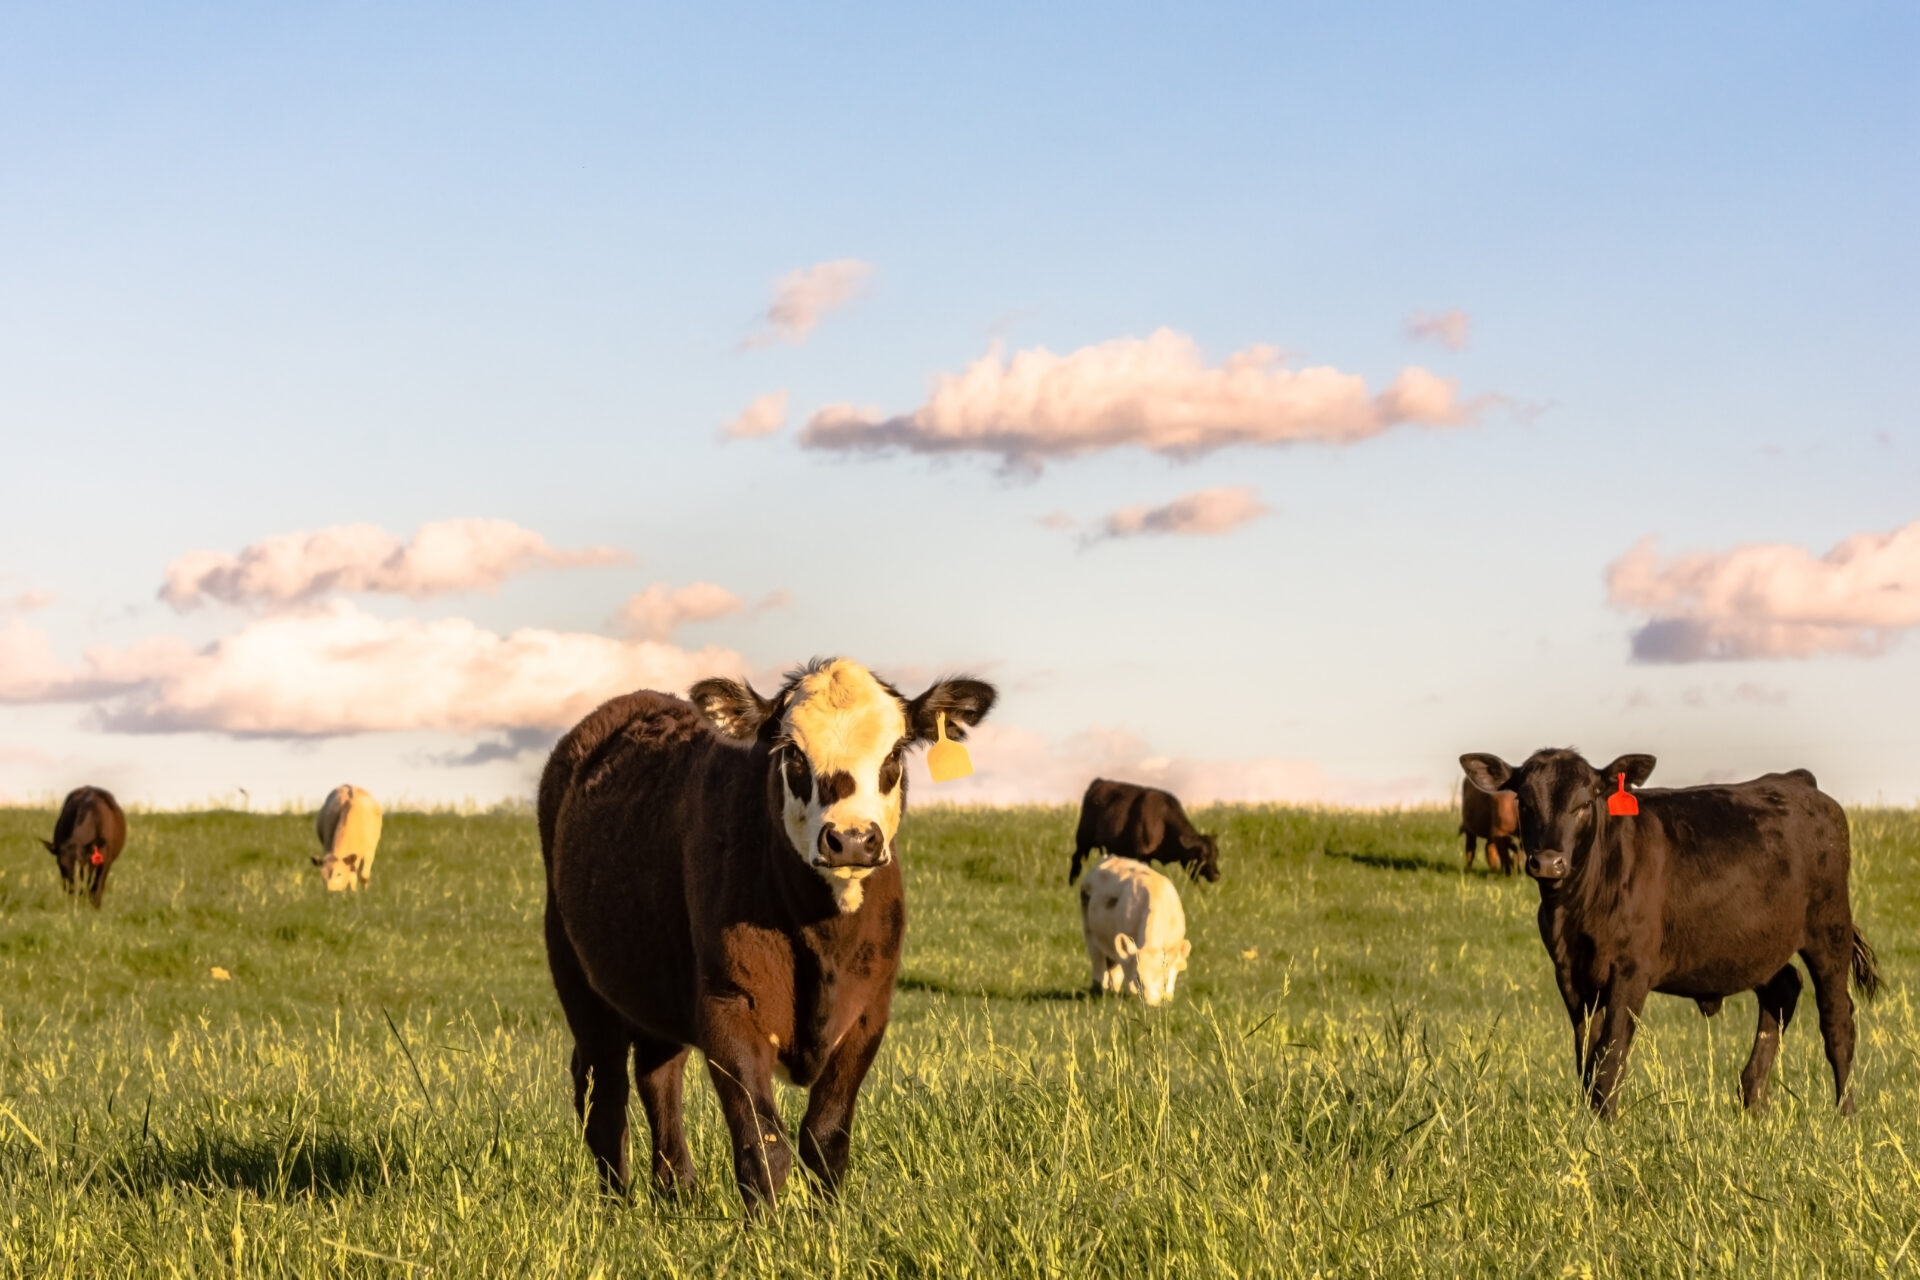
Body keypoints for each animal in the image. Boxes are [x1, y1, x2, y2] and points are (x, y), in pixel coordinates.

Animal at [539, 658, 996, 1211]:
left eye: (894, 753)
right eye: (792, 753)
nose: (851, 839)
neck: (823, 939)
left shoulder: (869, 1012)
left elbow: (825, 1137)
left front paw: (829, 1221)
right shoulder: (727, 1007)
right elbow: (764, 1145)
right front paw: (769, 1230)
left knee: (657, 1075)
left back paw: (677, 1191)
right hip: (577, 976)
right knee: (602, 1090)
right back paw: (617, 1207)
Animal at [1069, 778, 1220, 885]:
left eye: (1216, 854)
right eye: (1202, 855)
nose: (1217, 875)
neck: (1163, 820)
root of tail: (1098, 782)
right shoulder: (1142, 855)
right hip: (1083, 841)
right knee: (1077, 859)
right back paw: (1072, 884)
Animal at [1079, 856, 1191, 1005]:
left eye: (1164, 978)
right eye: (1138, 978)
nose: (1151, 1003)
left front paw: (1167, 996)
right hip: (1090, 934)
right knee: (1100, 966)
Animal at [1461, 748, 1880, 1117]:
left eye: (1584, 803)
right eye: (1524, 803)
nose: (1549, 862)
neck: (1576, 907)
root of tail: (1796, 781)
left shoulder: (1631, 970)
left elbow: (1611, 1051)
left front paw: (1606, 1125)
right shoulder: (1569, 973)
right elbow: (1587, 1056)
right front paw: (1590, 1120)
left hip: (1829, 929)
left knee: (1837, 1022)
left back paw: (1845, 1113)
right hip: (1757, 944)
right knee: (1782, 990)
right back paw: (1752, 1101)